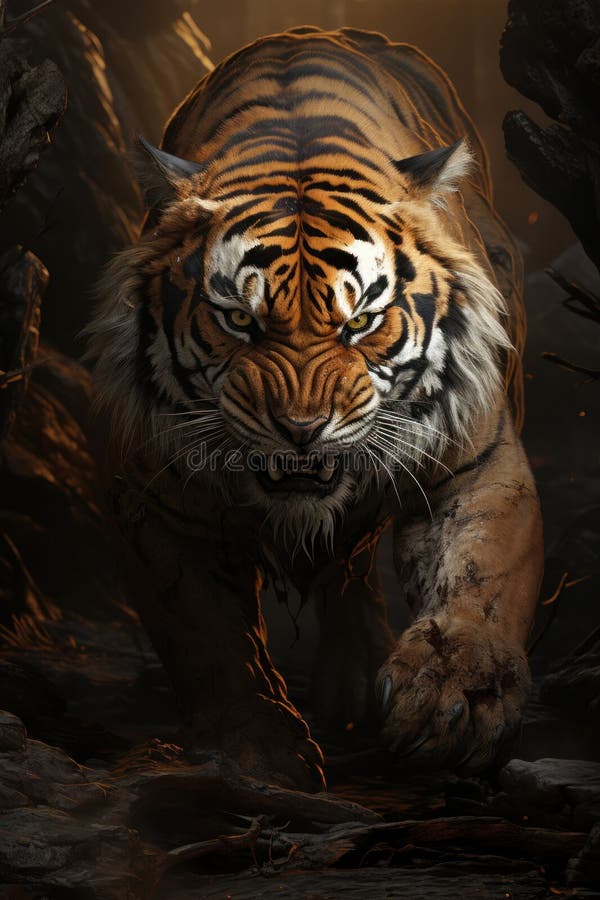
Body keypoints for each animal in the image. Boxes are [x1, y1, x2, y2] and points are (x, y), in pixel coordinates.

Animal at [86, 27, 543, 792]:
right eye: (239, 320)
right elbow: (206, 638)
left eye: (360, 324)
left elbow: (479, 574)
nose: (301, 432)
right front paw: (257, 750)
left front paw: (457, 700)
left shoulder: (475, 462)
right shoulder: (150, 500)